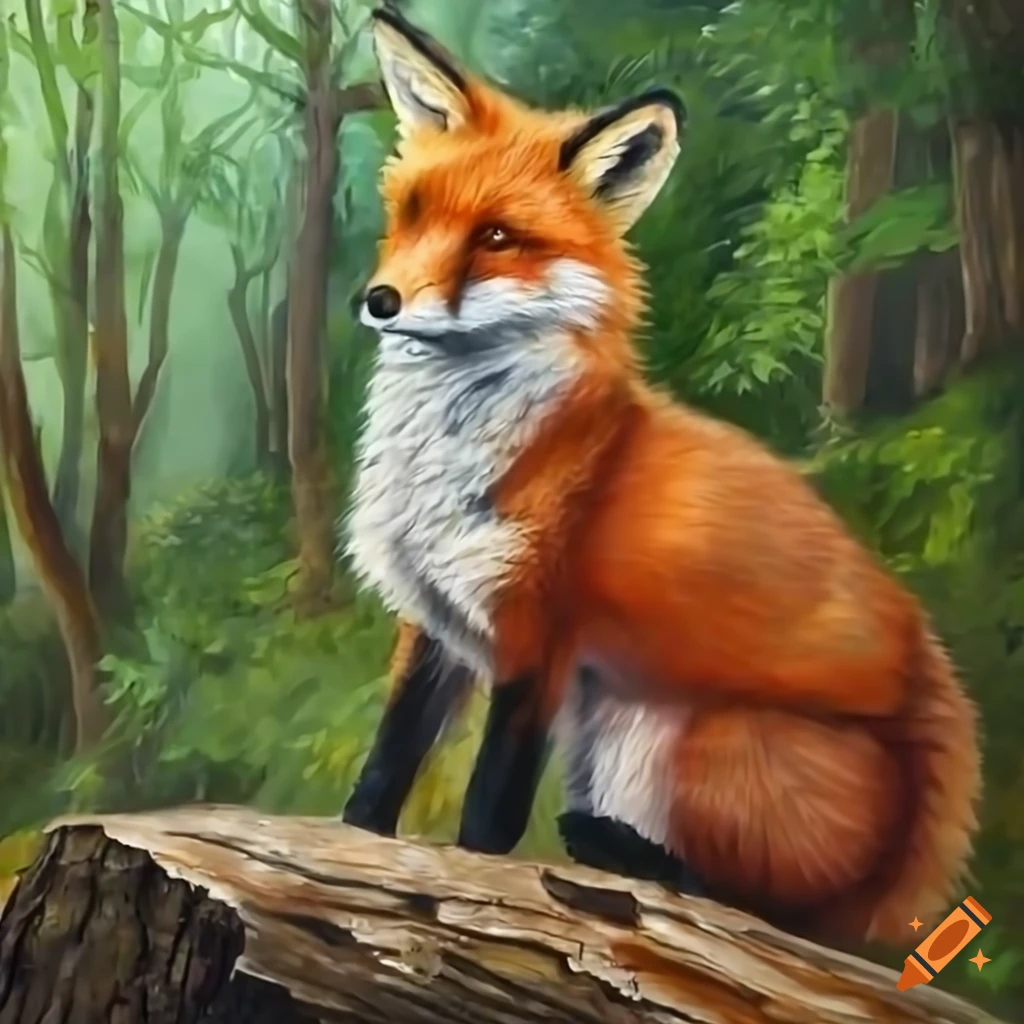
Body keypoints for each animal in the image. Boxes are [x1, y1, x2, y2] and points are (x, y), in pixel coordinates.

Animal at [341, 5, 982, 946]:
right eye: (412, 212)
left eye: (495, 238)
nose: (379, 302)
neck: (453, 459)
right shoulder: (435, 619)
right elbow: (391, 753)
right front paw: (349, 841)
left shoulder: (542, 634)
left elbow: (492, 807)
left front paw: (476, 895)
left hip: (696, 743)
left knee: (770, 911)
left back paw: (627, 854)